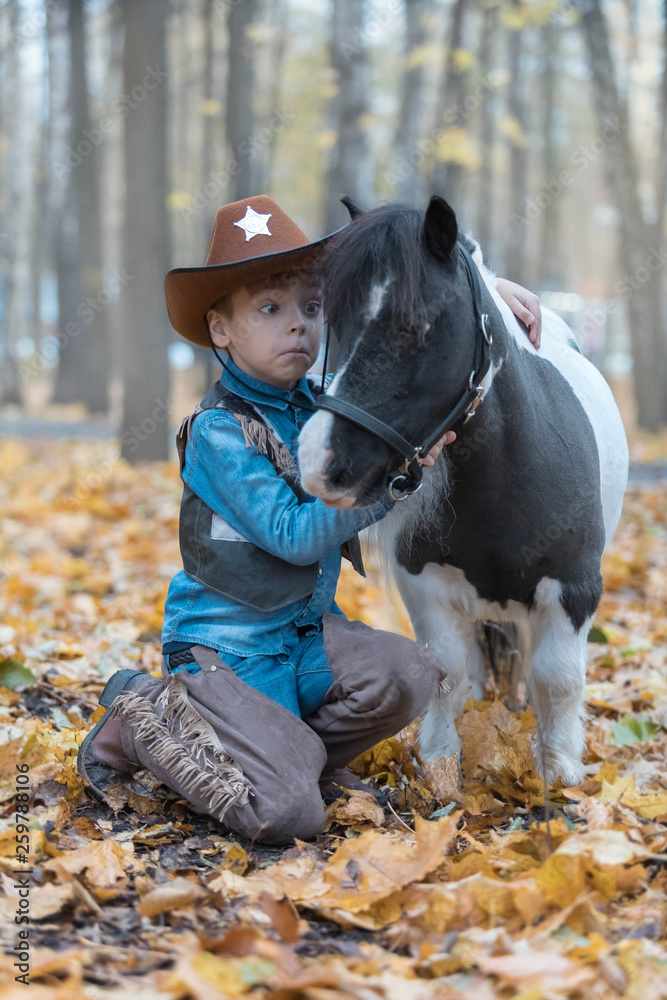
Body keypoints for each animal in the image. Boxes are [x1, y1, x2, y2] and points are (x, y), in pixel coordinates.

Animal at [298, 195, 629, 790]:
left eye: (417, 327)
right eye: (335, 323)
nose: (319, 463)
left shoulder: (574, 589)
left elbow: (558, 676)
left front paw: (559, 771)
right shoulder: (424, 584)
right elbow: (445, 670)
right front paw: (441, 764)